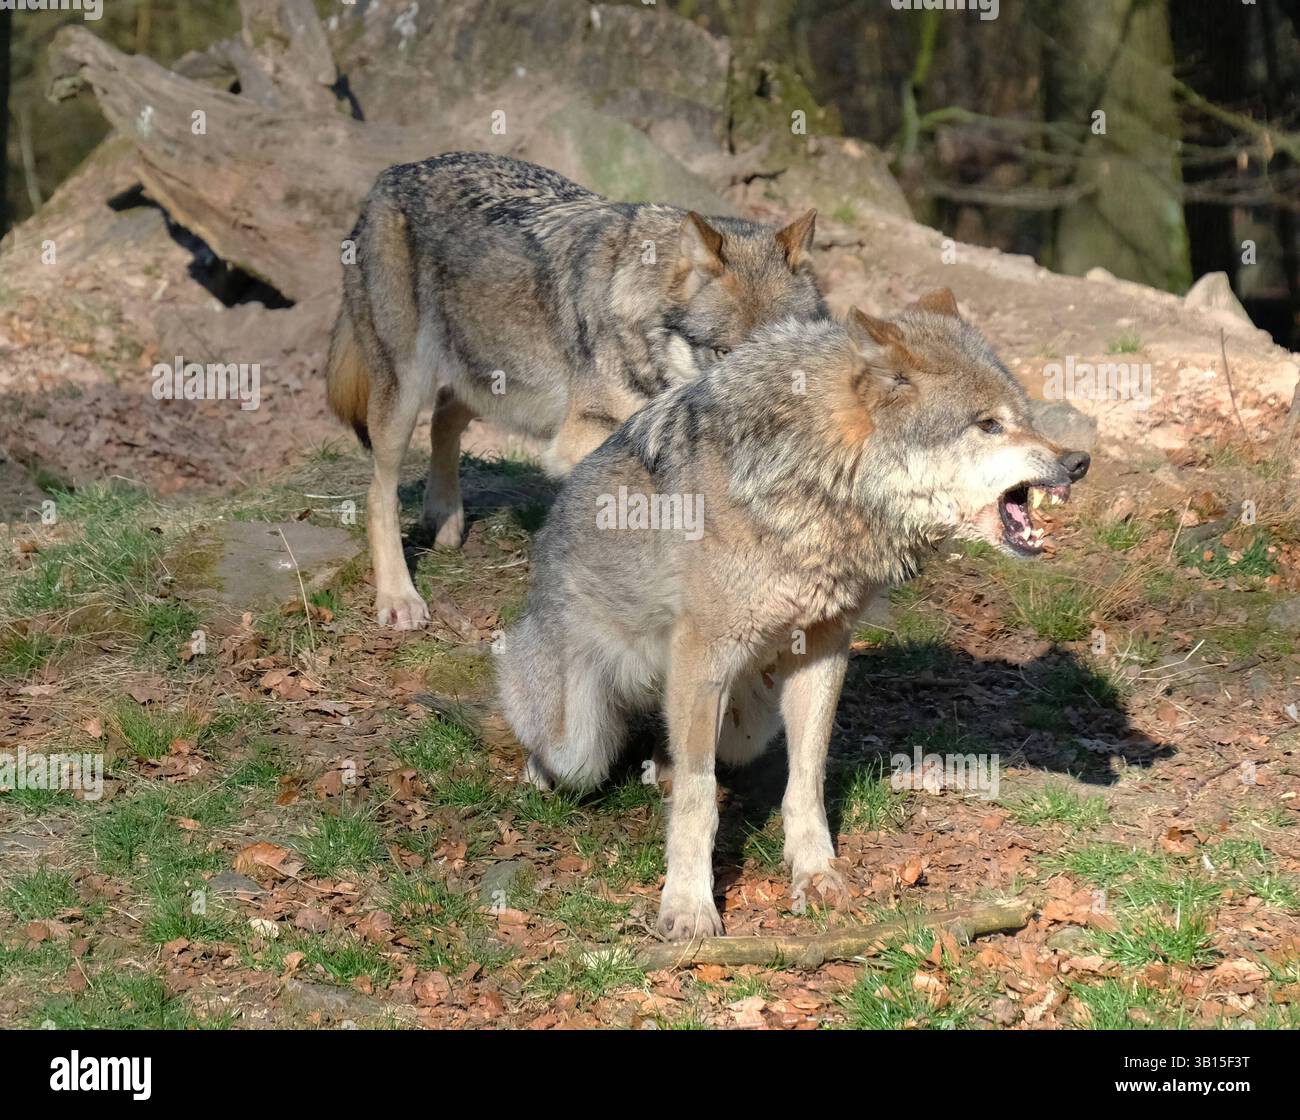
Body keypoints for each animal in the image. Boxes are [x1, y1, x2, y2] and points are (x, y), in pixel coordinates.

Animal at [324, 151, 827, 629]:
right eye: (724, 353)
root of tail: (390, 175)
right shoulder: (581, 440)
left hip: (492, 378)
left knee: (445, 413)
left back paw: (445, 518)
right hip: (405, 392)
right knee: (379, 494)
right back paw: (398, 598)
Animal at [496, 290, 1090, 939]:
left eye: (1024, 417)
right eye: (988, 424)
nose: (1078, 461)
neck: (819, 476)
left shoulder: (824, 648)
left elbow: (805, 780)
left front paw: (815, 871)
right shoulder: (703, 654)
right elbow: (700, 805)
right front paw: (688, 905)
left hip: (745, 723)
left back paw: (661, 766)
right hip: (580, 734)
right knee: (567, 746)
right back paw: (545, 771)